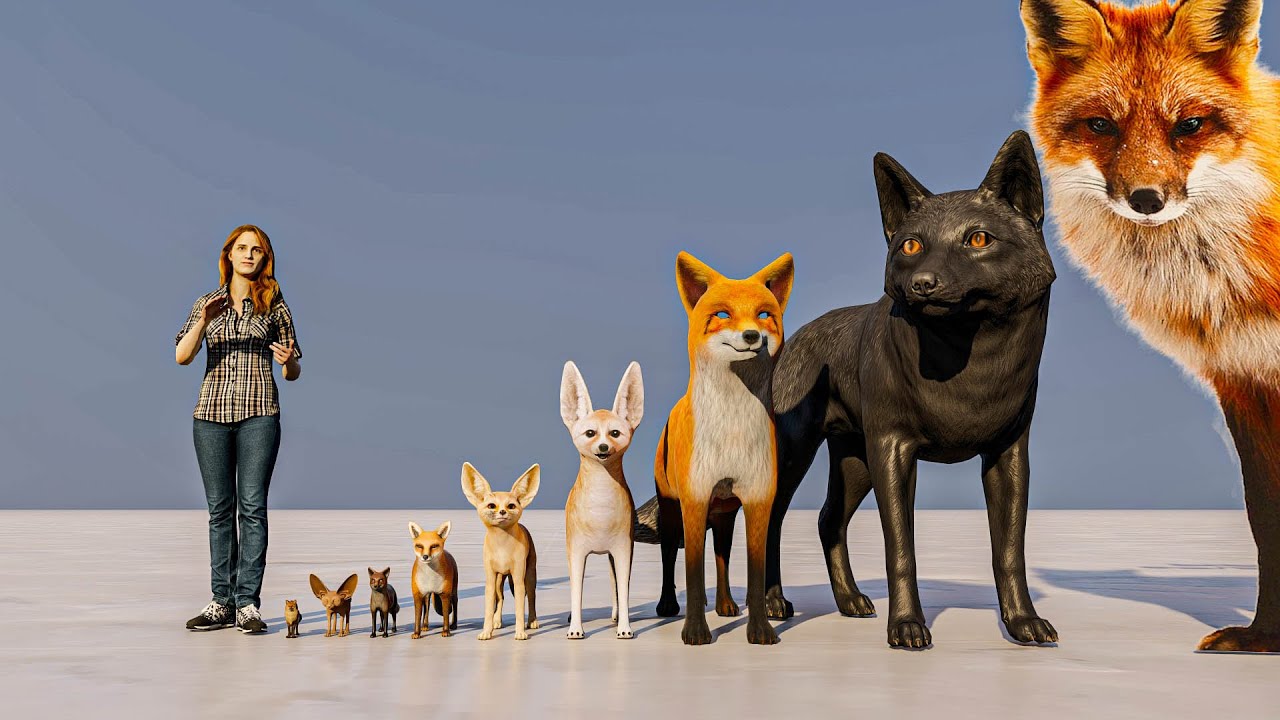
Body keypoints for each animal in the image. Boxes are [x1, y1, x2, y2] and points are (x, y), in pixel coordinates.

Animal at [652, 251, 793, 645]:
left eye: (764, 315)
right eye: (723, 315)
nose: (752, 336)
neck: (732, 429)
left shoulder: (758, 499)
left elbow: (755, 573)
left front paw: (760, 631)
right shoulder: (696, 499)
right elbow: (692, 571)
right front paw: (696, 632)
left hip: (725, 514)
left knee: (722, 558)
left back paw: (726, 604)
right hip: (672, 509)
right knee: (670, 557)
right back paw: (668, 605)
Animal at [1022, 0, 1280, 652]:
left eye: (1188, 126)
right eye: (1101, 126)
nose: (1146, 198)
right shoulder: (1243, 377)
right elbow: (1265, 514)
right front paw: (1267, 637)